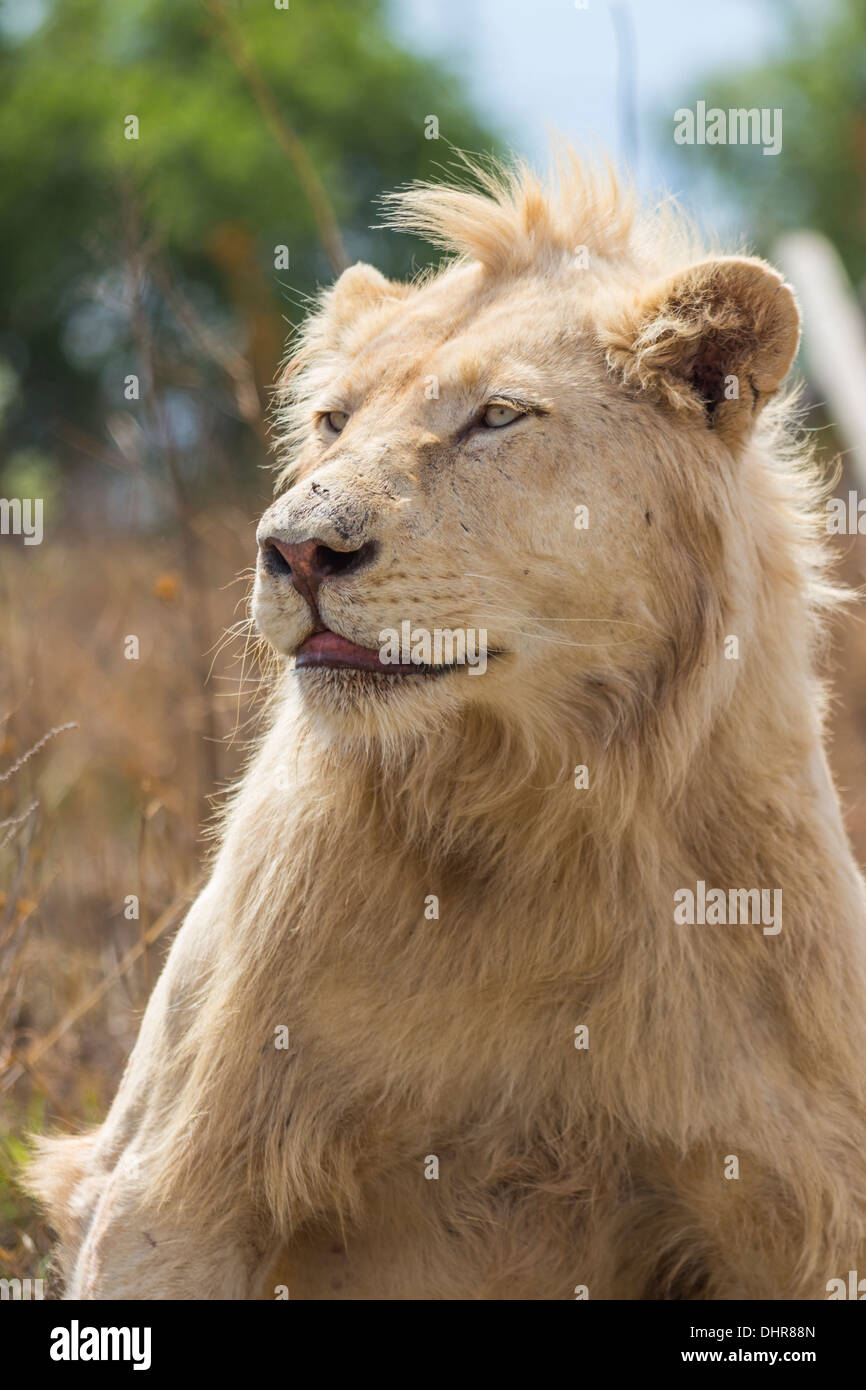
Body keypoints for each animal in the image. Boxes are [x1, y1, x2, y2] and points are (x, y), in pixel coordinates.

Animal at [28, 149, 866, 1300]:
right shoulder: (167, 1184)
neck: (538, 810)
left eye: (497, 417)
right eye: (333, 422)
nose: (295, 549)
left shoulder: (802, 1204)